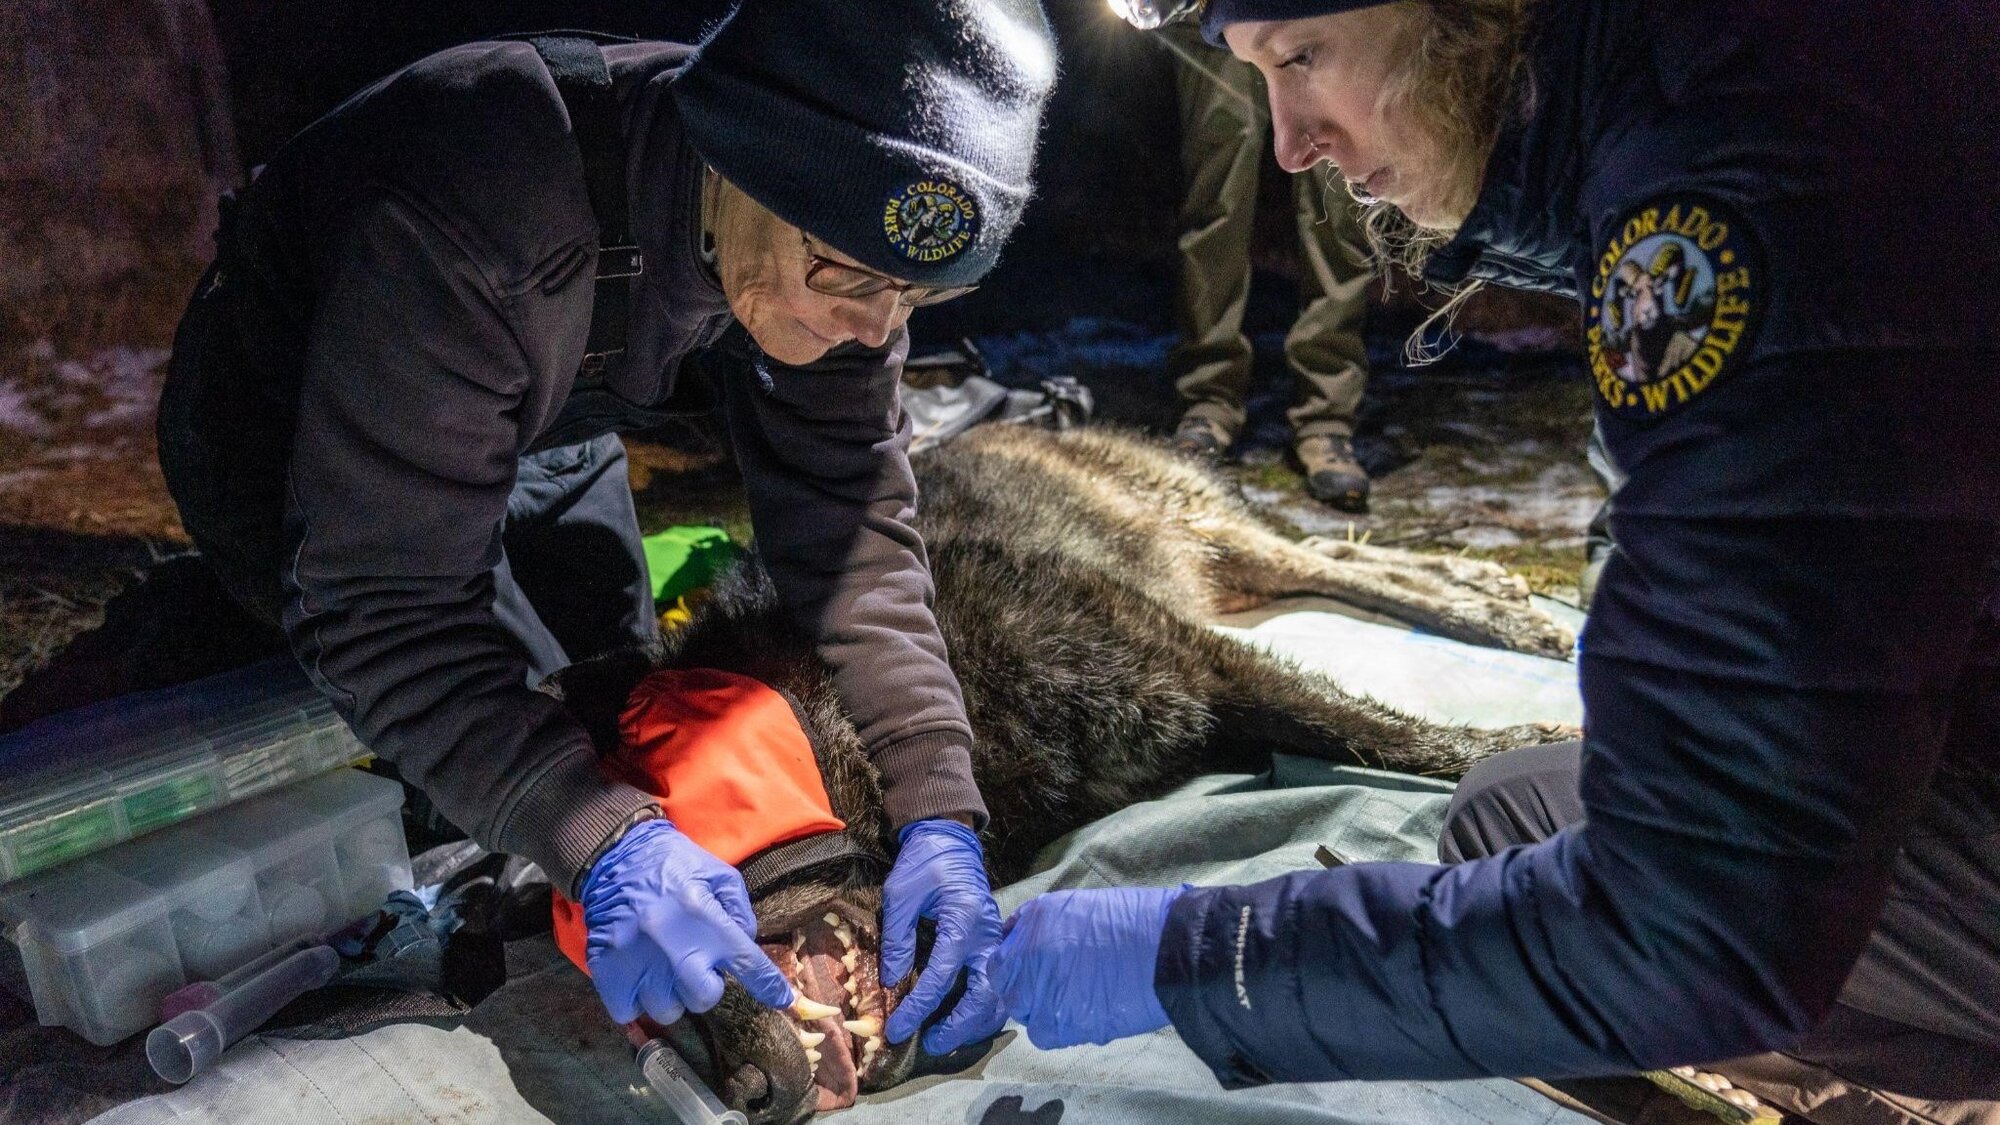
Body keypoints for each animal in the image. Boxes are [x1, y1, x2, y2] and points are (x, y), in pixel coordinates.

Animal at [545, 425, 1576, 1125]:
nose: (746, 1093)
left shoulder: (1195, 661)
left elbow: (1388, 733)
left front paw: (1531, 745)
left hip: (1194, 522)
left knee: (1328, 559)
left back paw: (1494, 606)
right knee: (1329, 562)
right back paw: (1481, 585)